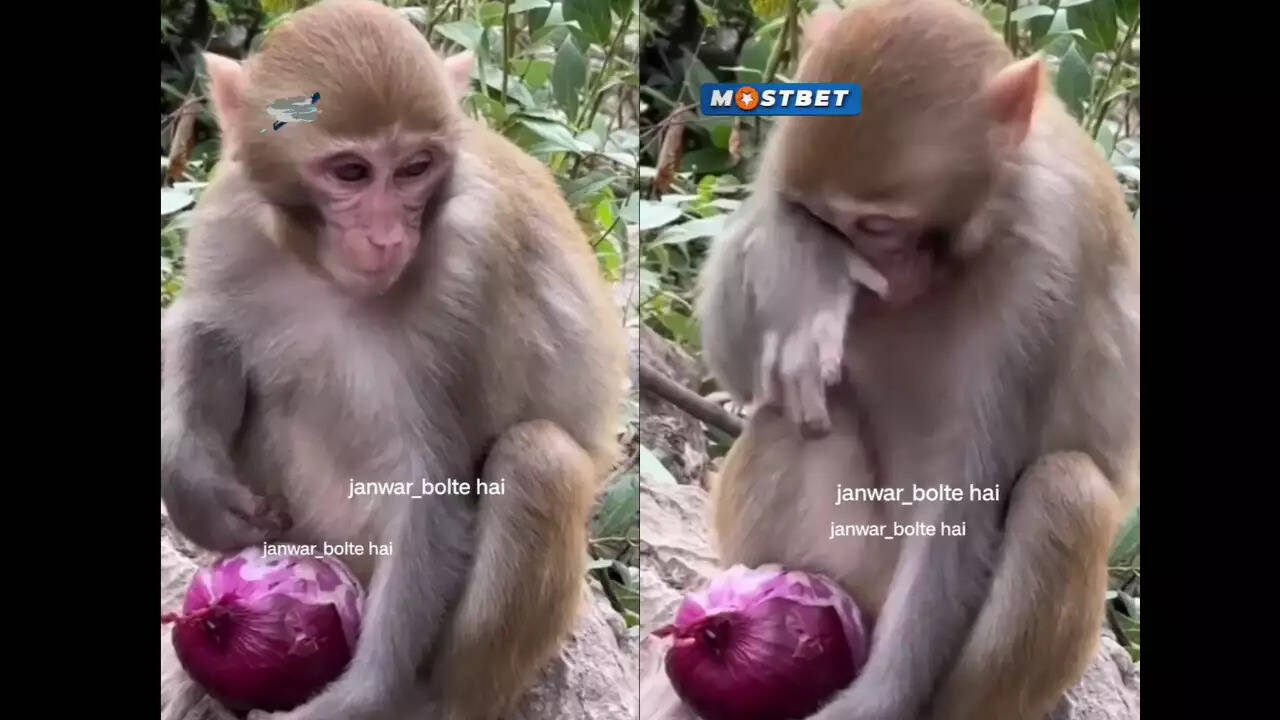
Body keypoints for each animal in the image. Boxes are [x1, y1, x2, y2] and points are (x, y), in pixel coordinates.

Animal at [159, 2, 627, 720]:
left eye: (415, 168)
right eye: (351, 172)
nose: (384, 238)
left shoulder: (475, 266)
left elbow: (432, 485)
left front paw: (361, 699)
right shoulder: (231, 208)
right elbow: (205, 328)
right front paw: (195, 490)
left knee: (537, 461)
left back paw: (432, 700)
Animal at [643, 1, 1139, 719]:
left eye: (880, 225)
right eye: (826, 221)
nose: (887, 274)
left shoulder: (1053, 257)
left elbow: (964, 497)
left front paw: (872, 704)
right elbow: (739, 365)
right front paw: (805, 260)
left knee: (1064, 493)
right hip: (852, 571)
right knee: (789, 411)